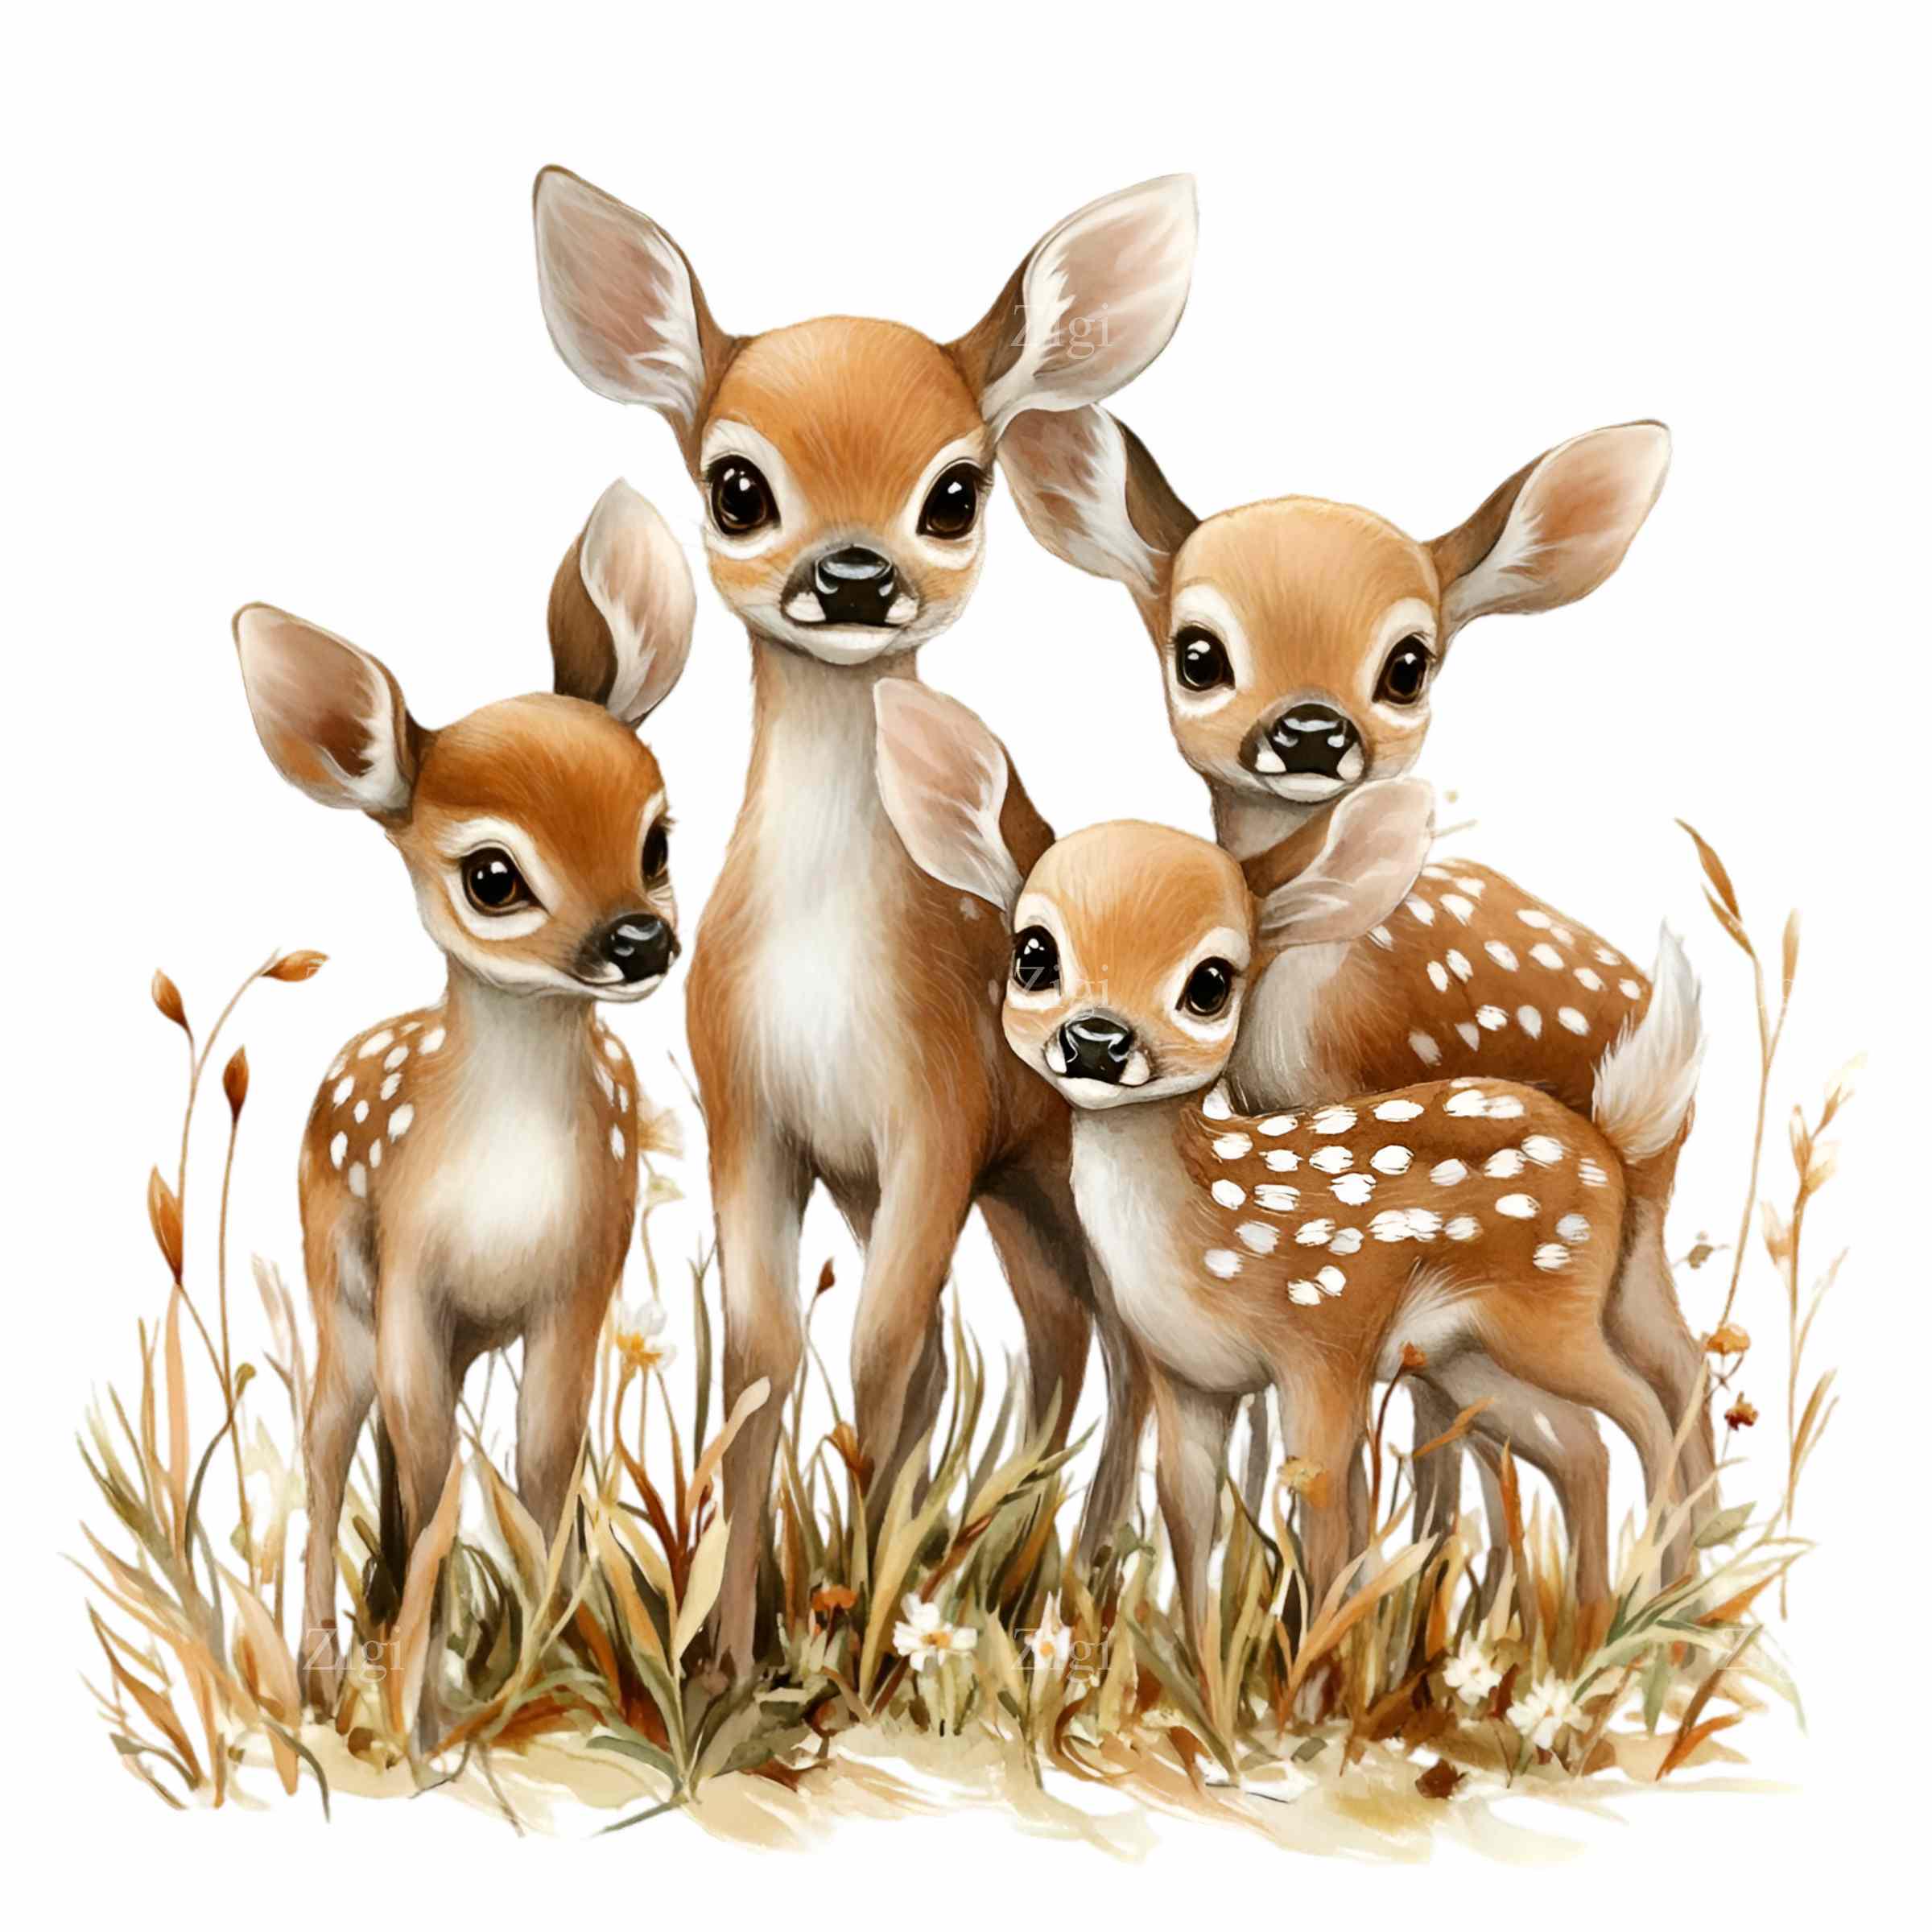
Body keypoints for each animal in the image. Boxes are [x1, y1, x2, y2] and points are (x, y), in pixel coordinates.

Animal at [233, 479, 695, 1723]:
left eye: (657, 838)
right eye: (493, 875)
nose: (641, 940)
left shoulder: (582, 1271)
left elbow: (538, 1460)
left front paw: (557, 1672)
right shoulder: (412, 1273)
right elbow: (437, 1466)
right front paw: (425, 1709)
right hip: (338, 1280)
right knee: (332, 1442)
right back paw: (322, 1671)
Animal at [532, 166, 1199, 1671]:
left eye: (955, 493)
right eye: (737, 485)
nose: (849, 577)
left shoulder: (934, 1119)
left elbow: (886, 1353)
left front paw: (853, 1640)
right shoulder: (761, 1120)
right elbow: (768, 1361)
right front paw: (732, 1650)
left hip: (1055, 1165)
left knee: (1120, 1348)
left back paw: (1071, 1581)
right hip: (1019, 1192)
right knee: (1062, 1338)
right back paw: (1015, 1563)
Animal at [874, 681, 1705, 1642]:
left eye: (1209, 982)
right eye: (1034, 953)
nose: (1097, 1041)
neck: (1203, 1237)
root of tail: (1609, 1143)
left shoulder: (1324, 1346)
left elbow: (1325, 1514)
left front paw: (1322, 1666)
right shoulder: (1186, 1377)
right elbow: (1189, 1515)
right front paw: (1198, 1665)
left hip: (1552, 1314)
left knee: (1648, 1408)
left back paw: (1661, 1612)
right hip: (1470, 1356)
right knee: (1580, 1447)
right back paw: (1591, 1626)